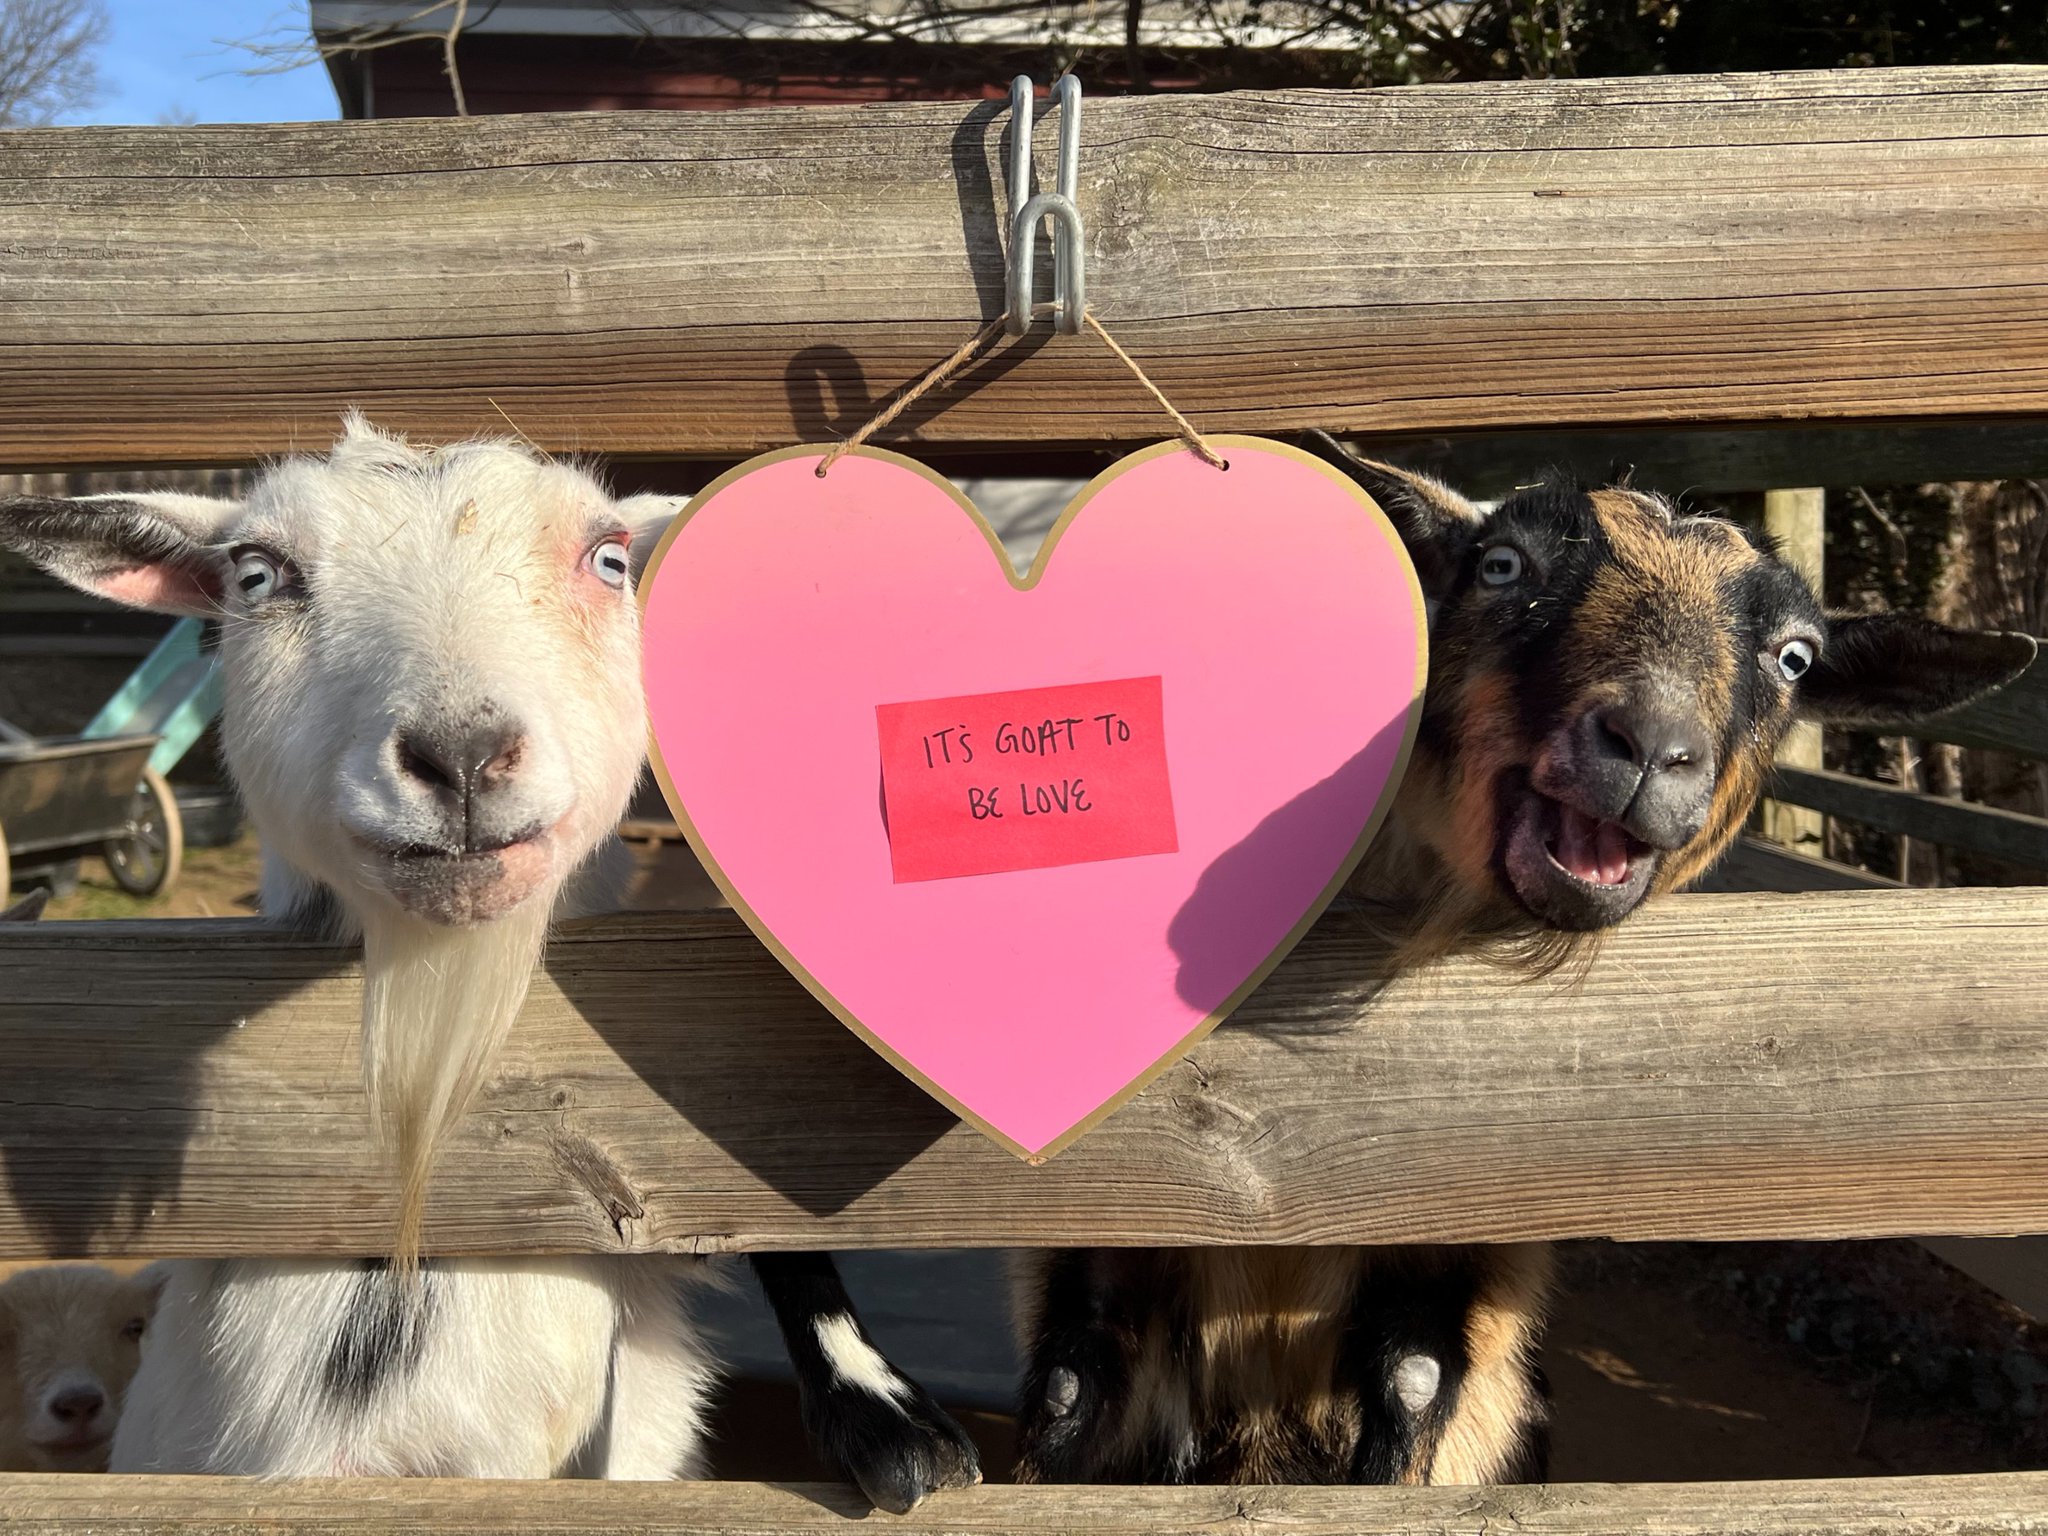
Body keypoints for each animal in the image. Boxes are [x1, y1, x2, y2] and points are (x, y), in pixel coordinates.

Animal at [1011, 437, 2036, 1487]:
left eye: (1795, 657)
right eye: (1502, 566)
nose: (1650, 748)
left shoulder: (1457, 1292)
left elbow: (1413, 1391)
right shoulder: (1098, 1279)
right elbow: (1061, 1407)